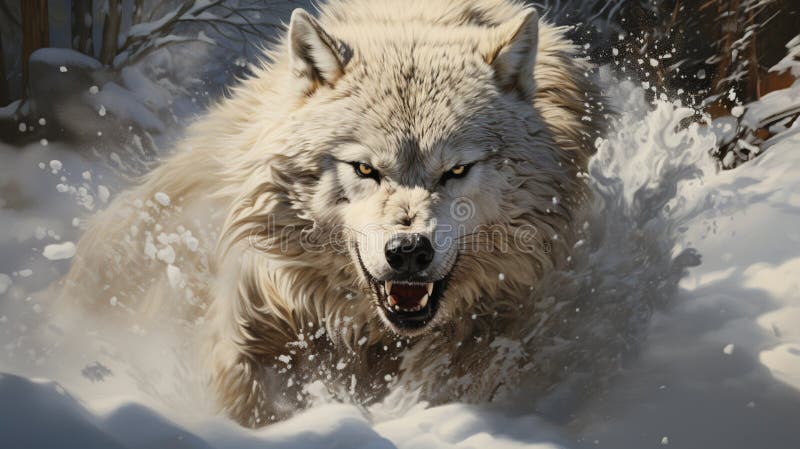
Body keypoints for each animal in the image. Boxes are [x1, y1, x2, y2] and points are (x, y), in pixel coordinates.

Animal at [61, 0, 604, 426]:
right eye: (364, 168)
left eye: (456, 170)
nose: (409, 251)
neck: (371, 334)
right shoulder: (257, 322)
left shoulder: (495, 320)